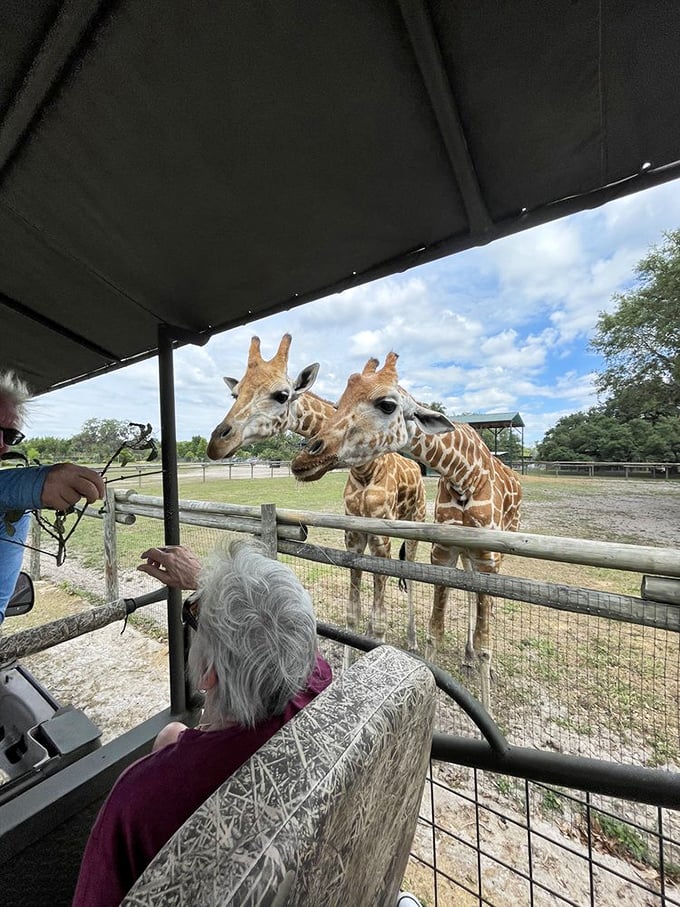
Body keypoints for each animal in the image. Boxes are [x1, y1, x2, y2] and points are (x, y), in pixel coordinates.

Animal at [206, 335, 426, 659]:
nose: (216, 444)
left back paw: (414, 641)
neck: (365, 469)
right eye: (234, 394)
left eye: (281, 395)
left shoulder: (381, 536)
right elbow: (352, 614)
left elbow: (379, 622)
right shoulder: (352, 533)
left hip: (414, 522)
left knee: (411, 575)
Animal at [291, 352, 522, 711]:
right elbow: (433, 631)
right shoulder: (443, 552)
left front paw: (484, 708)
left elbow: (485, 644)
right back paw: (466, 656)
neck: (464, 475)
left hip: (492, 554)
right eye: (340, 402)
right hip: (465, 556)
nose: (304, 457)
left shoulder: (487, 558)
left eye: (387, 404)